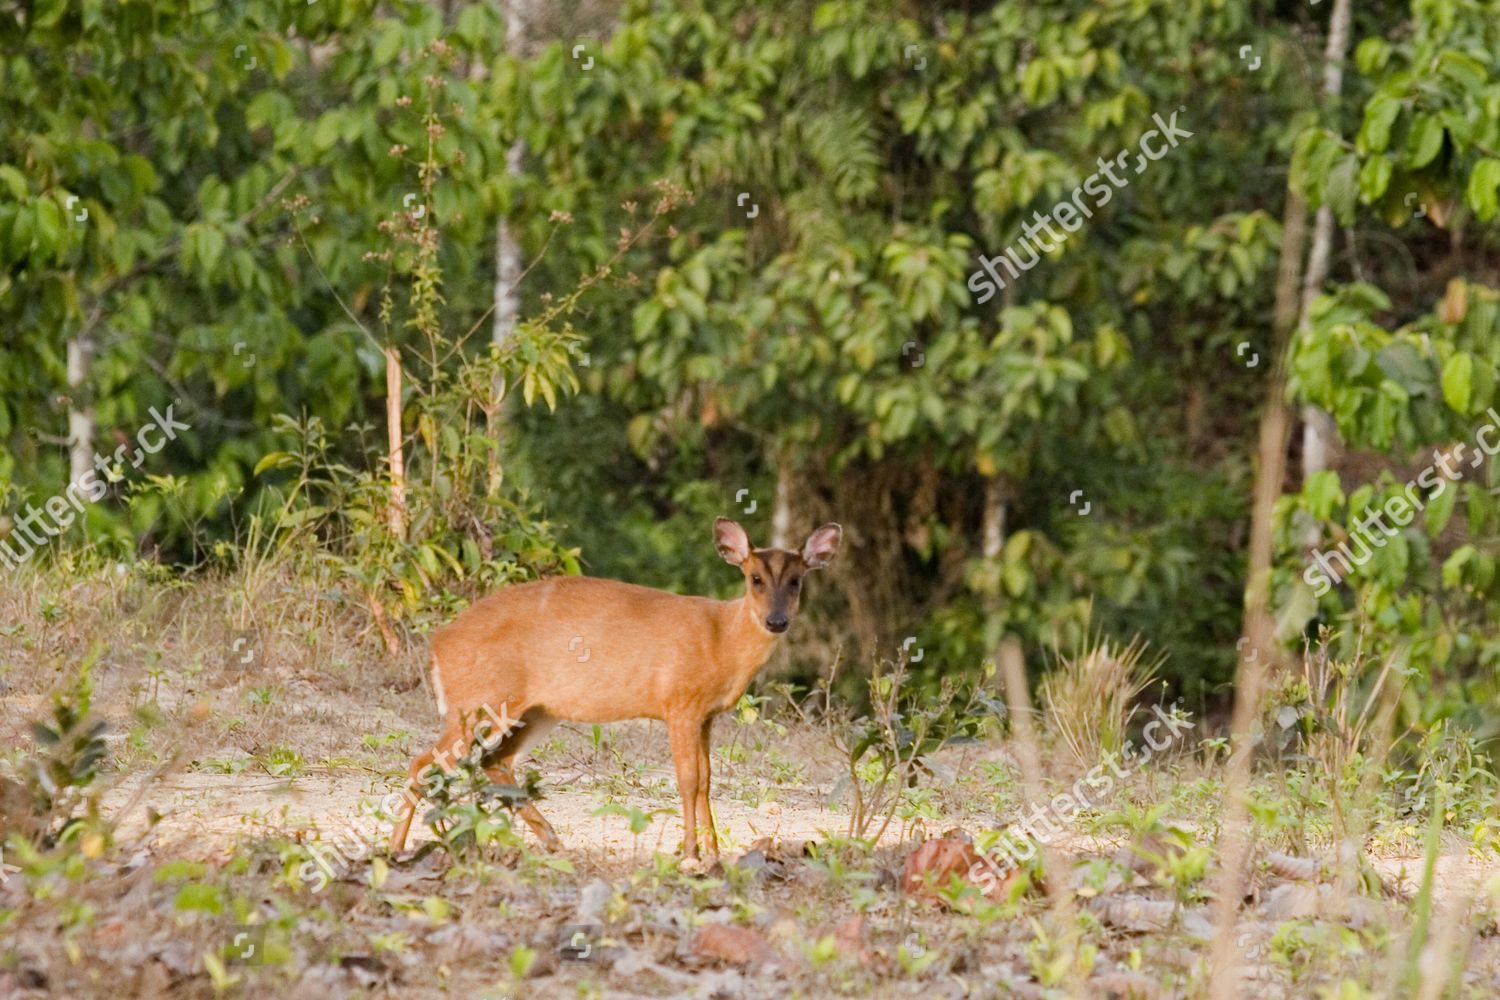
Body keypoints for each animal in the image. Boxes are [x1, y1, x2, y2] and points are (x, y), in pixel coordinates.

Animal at [388, 517, 843, 862]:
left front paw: (713, 851)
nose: (776, 621)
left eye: (797, 581)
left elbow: (708, 780)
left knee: (493, 763)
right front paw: (691, 853)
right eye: (755, 579)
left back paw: (553, 840)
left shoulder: (706, 716)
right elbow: (688, 779)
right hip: (477, 702)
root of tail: (438, 645)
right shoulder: (679, 702)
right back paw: (396, 847)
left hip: (535, 710)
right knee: (423, 763)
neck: (722, 640)